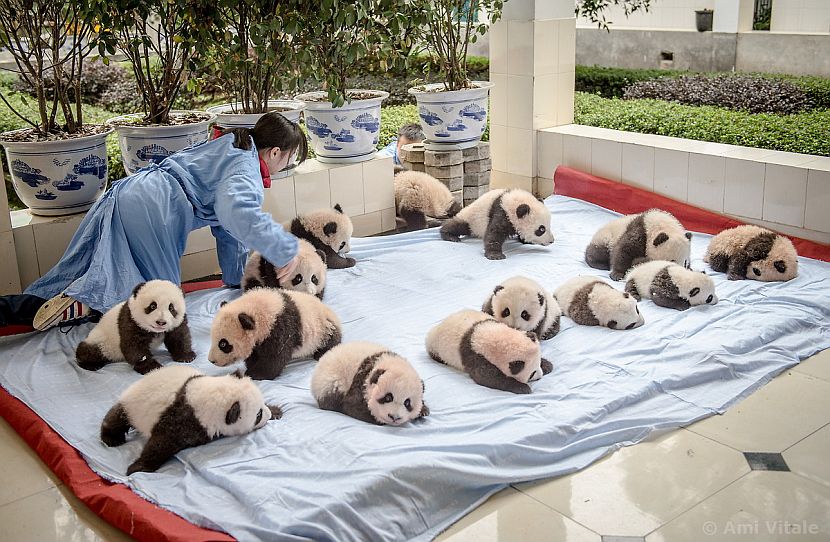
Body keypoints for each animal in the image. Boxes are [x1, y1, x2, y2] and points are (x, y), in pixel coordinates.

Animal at [100, 365, 280, 474]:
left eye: (262, 405)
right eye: (258, 416)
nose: (267, 415)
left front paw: (276, 411)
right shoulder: (182, 420)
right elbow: (160, 444)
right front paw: (138, 468)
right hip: (132, 405)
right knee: (116, 418)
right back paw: (112, 438)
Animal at [208, 288, 342, 380]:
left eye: (223, 344)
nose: (211, 360)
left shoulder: (281, 329)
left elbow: (275, 357)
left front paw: (255, 373)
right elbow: (254, 353)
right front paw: (251, 366)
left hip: (322, 328)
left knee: (331, 339)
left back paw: (320, 353)